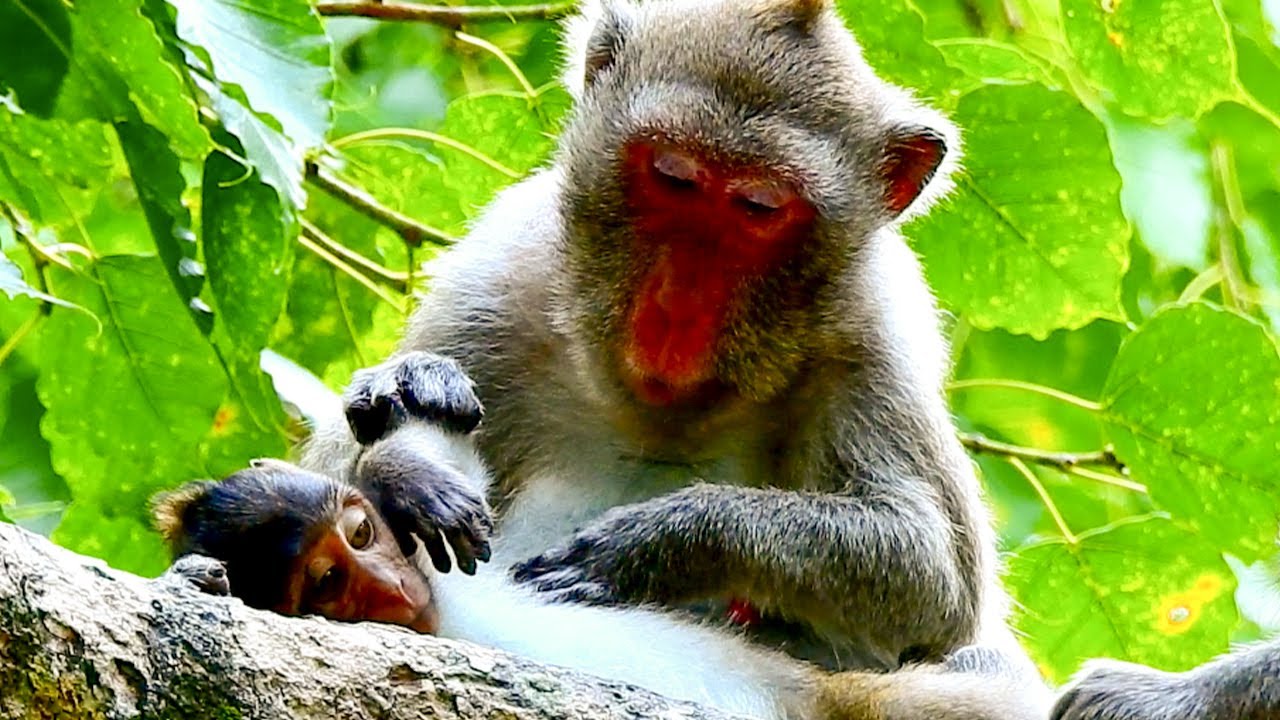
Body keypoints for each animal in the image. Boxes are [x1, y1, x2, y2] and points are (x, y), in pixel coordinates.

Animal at [296, 0, 1054, 716]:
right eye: (673, 176)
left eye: (760, 206)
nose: (680, 299)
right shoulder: (496, 274)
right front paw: (409, 417)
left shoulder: (875, 334)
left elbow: (932, 574)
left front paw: (659, 545)